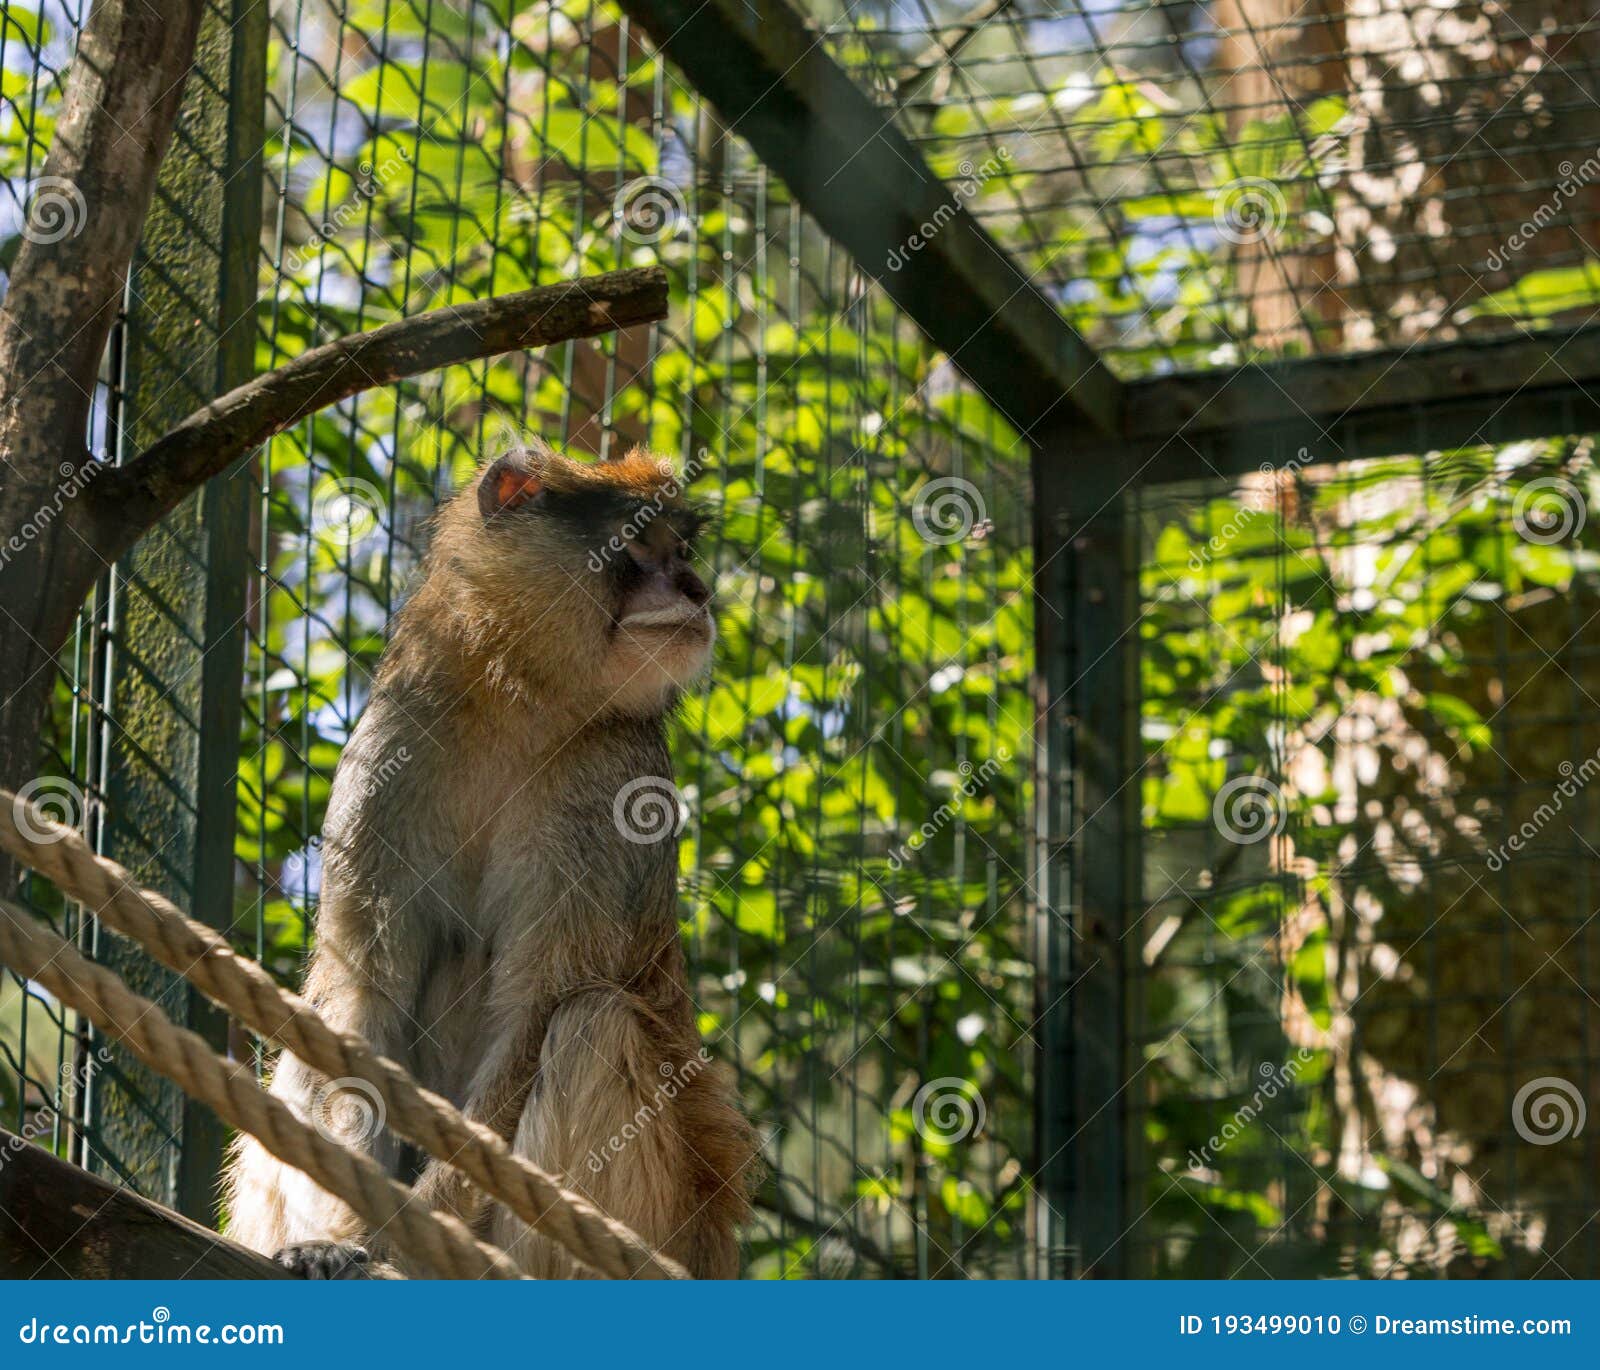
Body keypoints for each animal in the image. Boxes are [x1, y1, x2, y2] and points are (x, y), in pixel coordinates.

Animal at [224, 440, 757, 1279]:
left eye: (684, 550)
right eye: (645, 543)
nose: (698, 589)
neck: (520, 696)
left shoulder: (614, 777)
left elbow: (534, 1012)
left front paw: (394, 1240)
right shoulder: (393, 743)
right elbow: (360, 1000)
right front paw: (338, 1235)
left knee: (592, 1023)